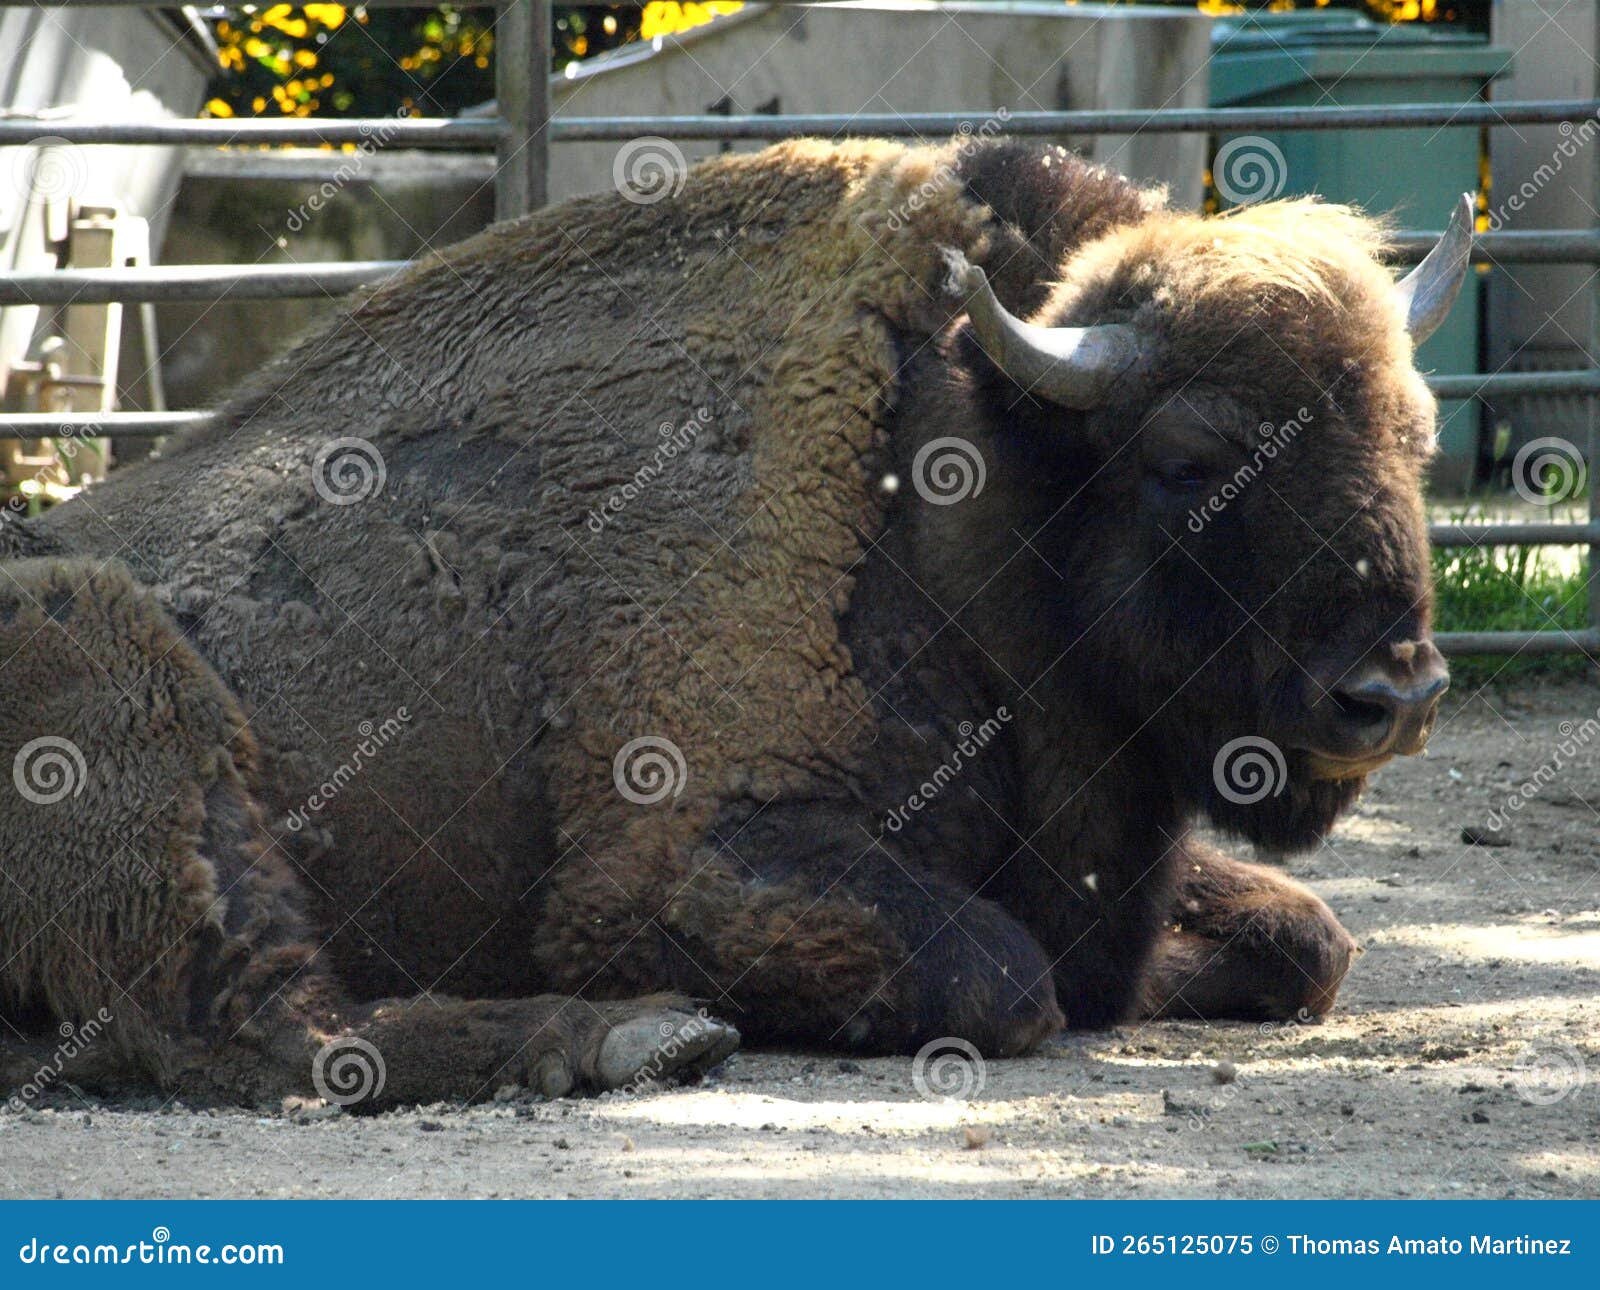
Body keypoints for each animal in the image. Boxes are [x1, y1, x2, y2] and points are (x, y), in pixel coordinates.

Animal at [0, 138, 1461, 1108]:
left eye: (1418, 434)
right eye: (1191, 457)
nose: (1389, 694)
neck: (954, 462)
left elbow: (1310, 940)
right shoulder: (676, 862)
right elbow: (1008, 980)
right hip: (119, 679)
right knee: (263, 1031)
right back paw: (634, 1038)